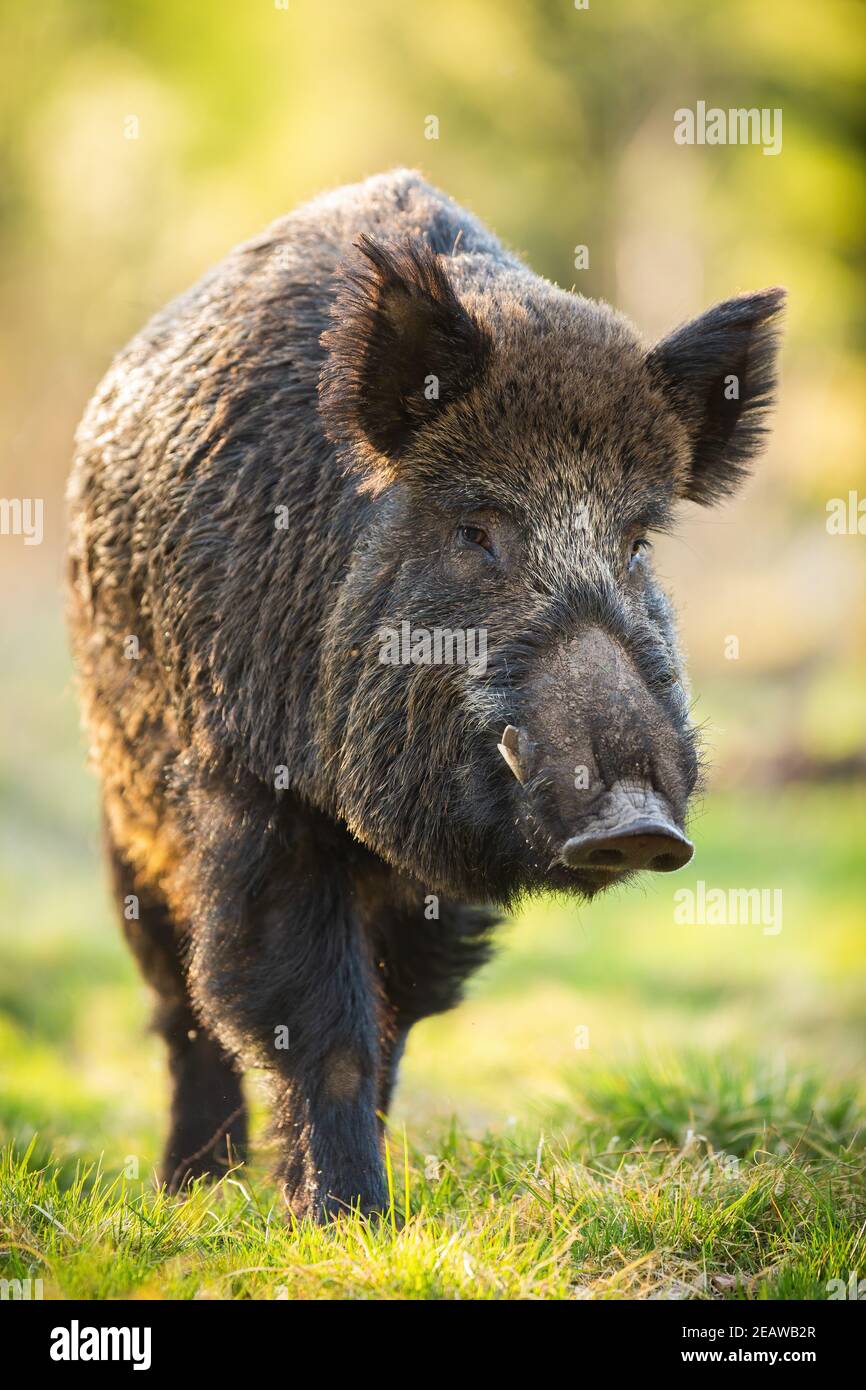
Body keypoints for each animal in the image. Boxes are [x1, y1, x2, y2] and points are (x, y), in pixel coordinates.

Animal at [67, 169, 784, 1218]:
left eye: (636, 542)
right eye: (475, 531)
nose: (638, 821)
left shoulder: (435, 887)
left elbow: (396, 1017)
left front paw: (360, 1209)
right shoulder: (257, 791)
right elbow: (311, 1021)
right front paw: (343, 1220)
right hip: (127, 812)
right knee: (179, 1002)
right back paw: (189, 1193)